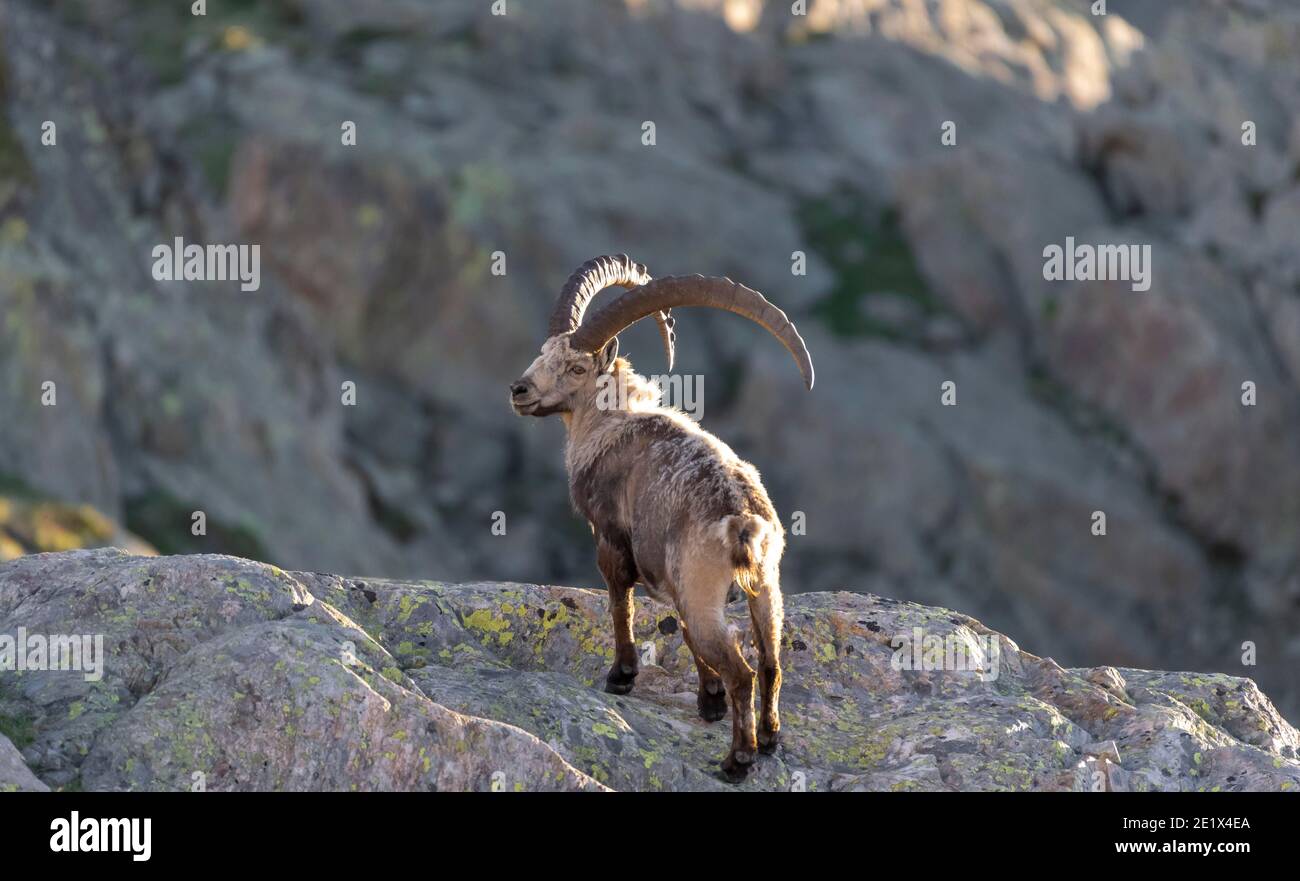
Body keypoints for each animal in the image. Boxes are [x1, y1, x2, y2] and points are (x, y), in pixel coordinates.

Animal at [509, 255, 814, 781]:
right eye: (542, 353)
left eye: (576, 365)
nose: (520, 390)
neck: (610, 423)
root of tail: (744, 521)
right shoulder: (671, 576)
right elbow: (683, 634)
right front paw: (708, 702)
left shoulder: (610, 536)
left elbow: (620, 602)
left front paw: (621, 676)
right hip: (764, 585)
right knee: (771, 659)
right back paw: (770, 739)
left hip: (704, 591)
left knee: (742, 670)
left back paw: (738, 760)